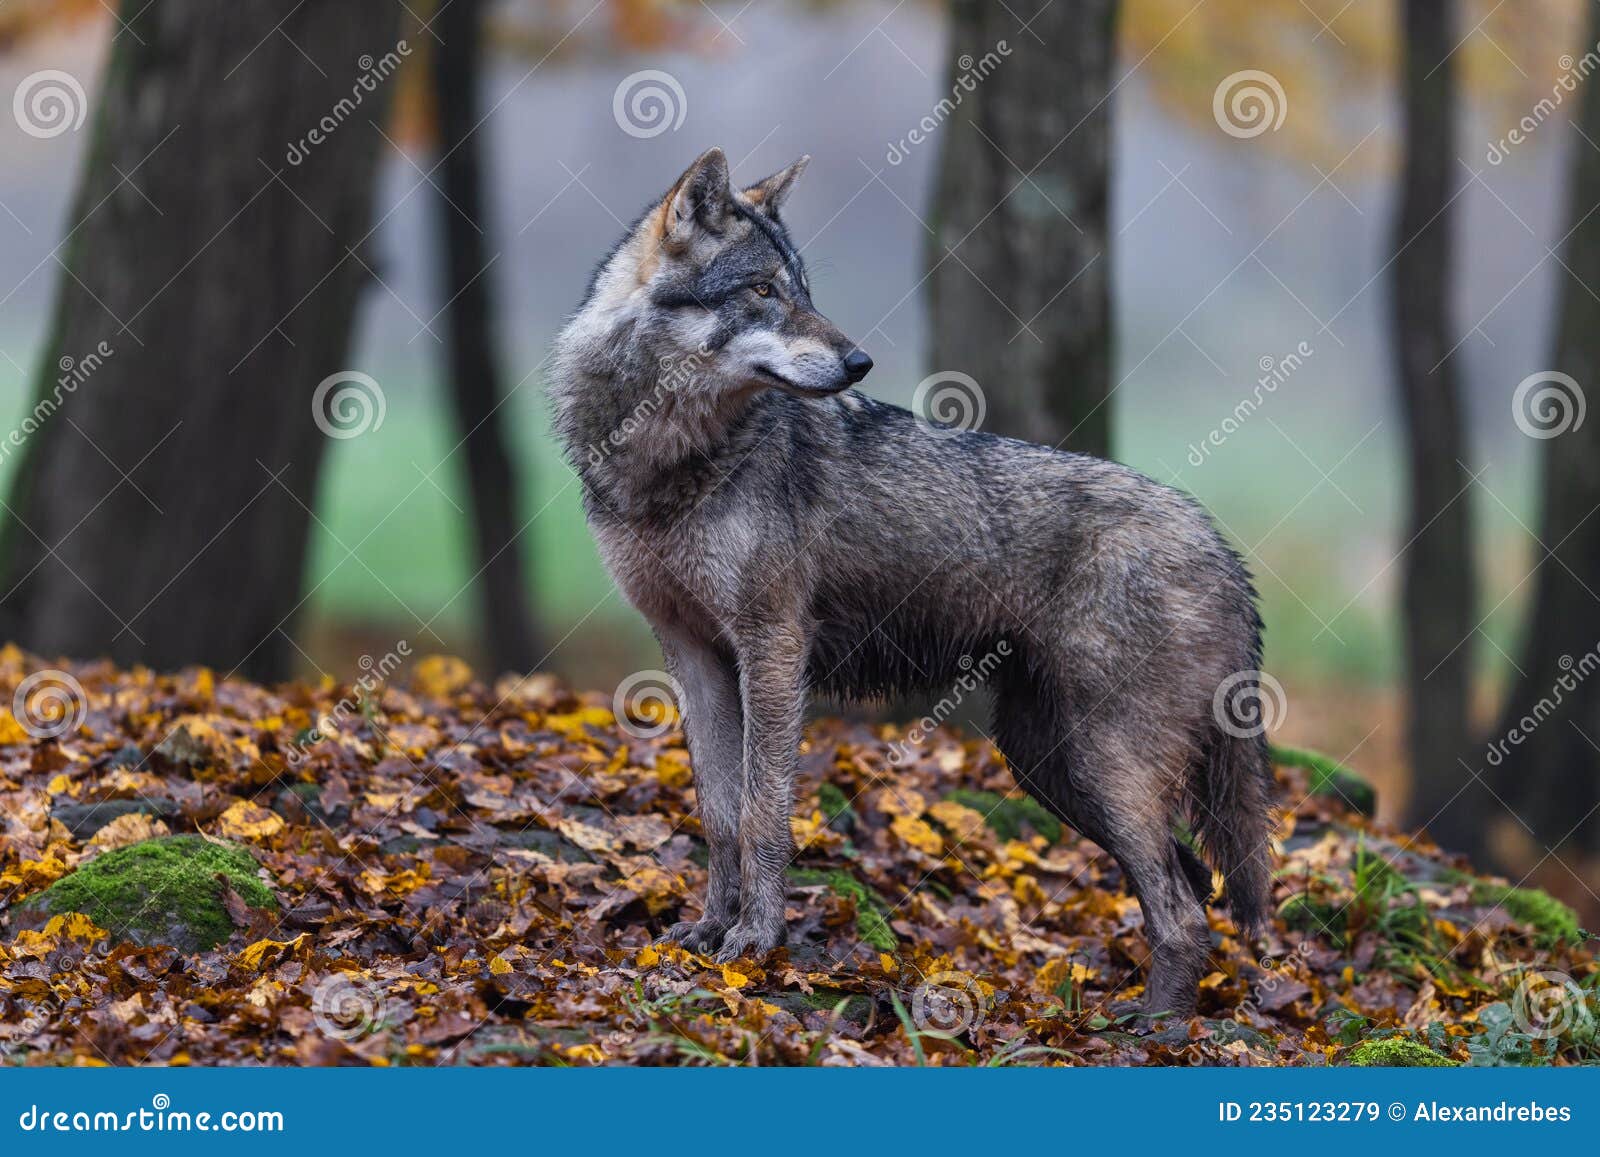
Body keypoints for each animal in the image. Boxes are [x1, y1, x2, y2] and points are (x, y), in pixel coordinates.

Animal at [549, 148, 1272, 1016]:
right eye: (764, 290)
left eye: (802, 290)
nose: (859, 361)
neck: (669, 457)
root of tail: (1224, 546)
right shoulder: (692, 654)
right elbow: (718, 814)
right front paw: (705, 935)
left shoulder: (772, 649)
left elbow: (762, 815)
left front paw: (755, 944)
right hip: (1049, 762)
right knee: (1191, 882)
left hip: (1099, 764)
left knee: (1185, 906)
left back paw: (1152, 1024)